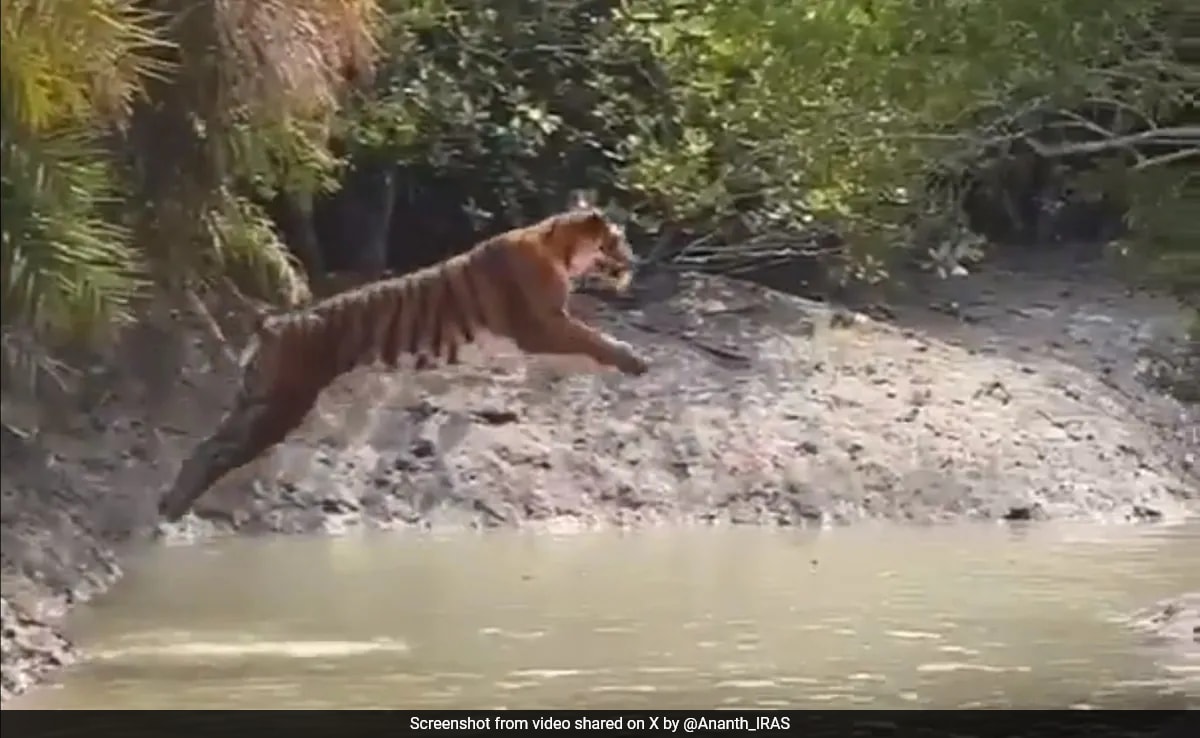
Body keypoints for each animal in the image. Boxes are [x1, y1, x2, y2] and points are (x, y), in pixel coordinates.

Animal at [157, 198, 649, 522]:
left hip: (255, 397)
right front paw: (633, 359)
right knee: (221, 451)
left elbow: (587, 341)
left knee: (207, 444)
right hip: (283, 403)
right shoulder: (539, 325)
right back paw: (176, 508)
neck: (560, 247)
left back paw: (169, 503)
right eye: (620, 240)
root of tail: (273, 323)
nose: (636, 259)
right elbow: (593, 338)